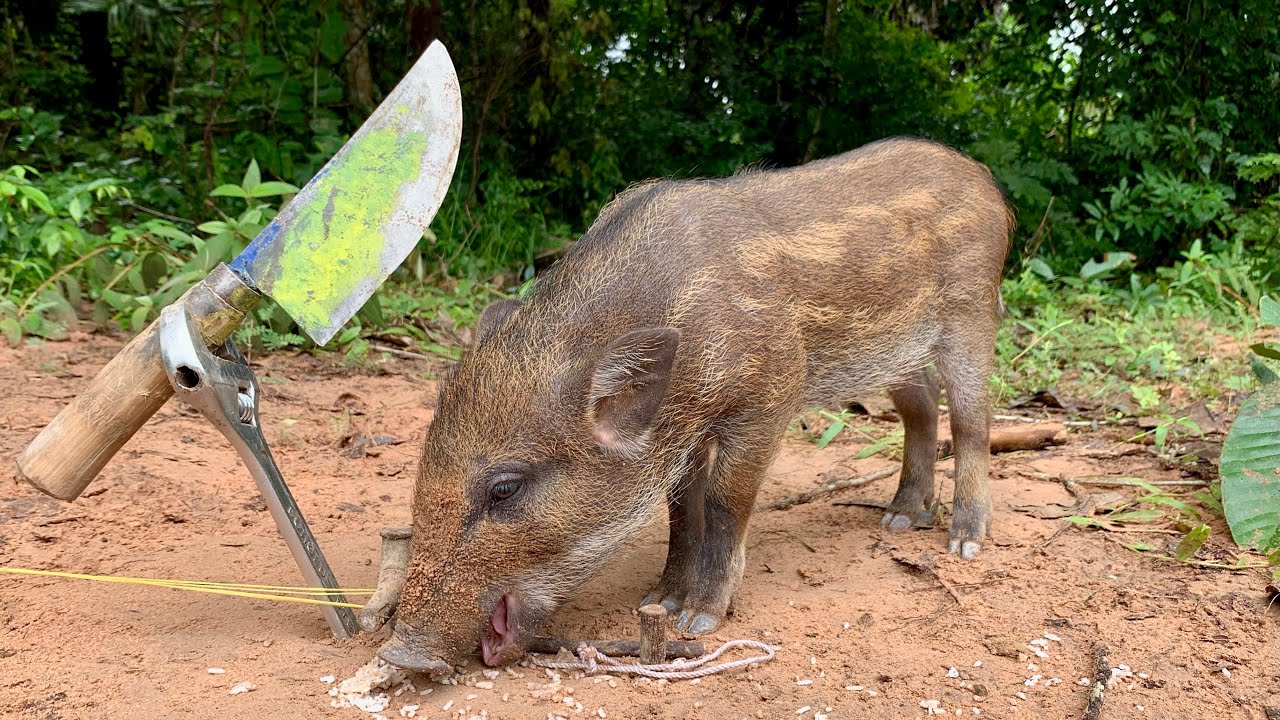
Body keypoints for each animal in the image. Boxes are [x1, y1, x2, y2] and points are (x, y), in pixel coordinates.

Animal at [376, 137, 1012, 673]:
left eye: (505, 489)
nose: (402, 654)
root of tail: (985, 180)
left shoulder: (769, 396)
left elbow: (725, 503)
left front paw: (698, 619)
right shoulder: (686, 432)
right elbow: (683, 509)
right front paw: (659, 599)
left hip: (971, 313)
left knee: (973, 420)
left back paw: (963, 541)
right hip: (897, 351)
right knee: (921, 405)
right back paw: (900, 518)